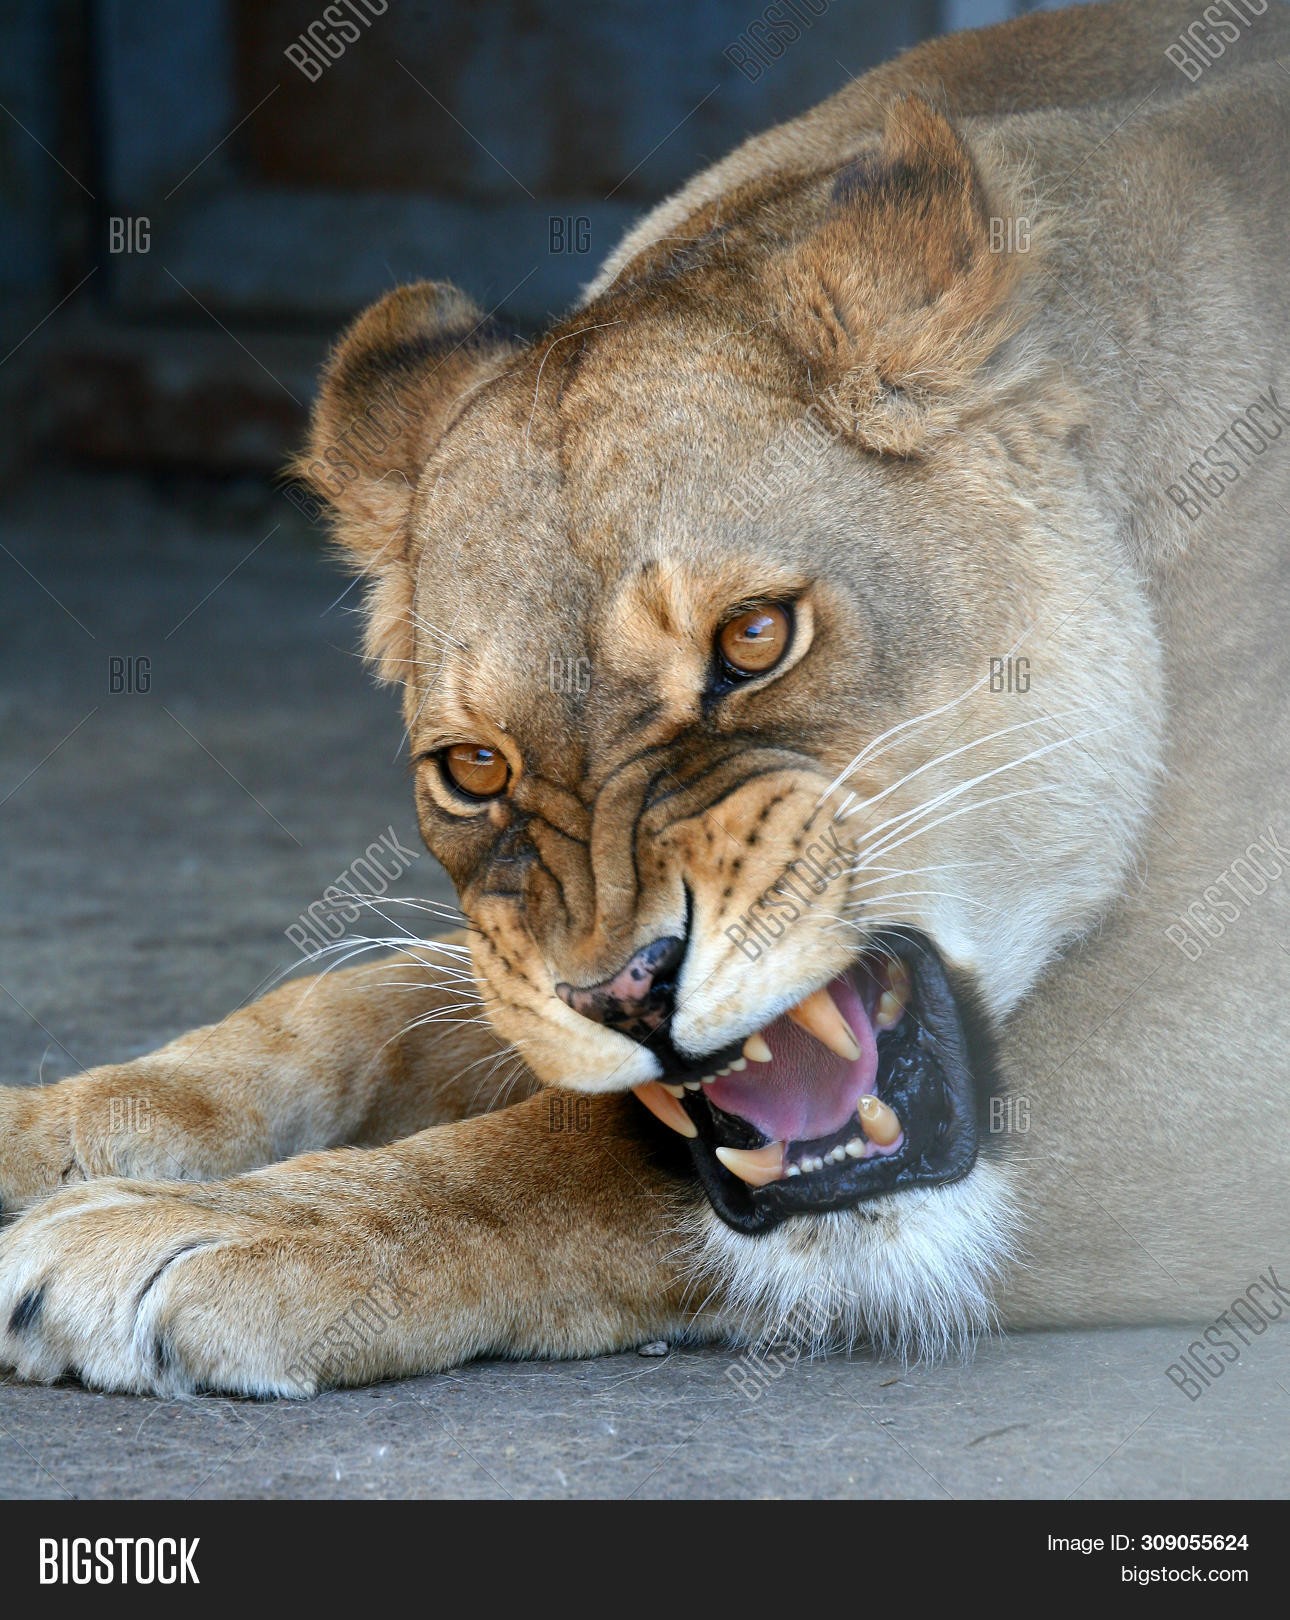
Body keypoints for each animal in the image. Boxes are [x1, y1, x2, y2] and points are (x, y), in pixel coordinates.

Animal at [2, 0, 1288, 1397]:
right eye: (474, 770)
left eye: (756, 637)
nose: (628, 997)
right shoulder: (504, 955)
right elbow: (359, 1004)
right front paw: (49, 1130)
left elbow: (578, 1150)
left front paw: (205, 1228)